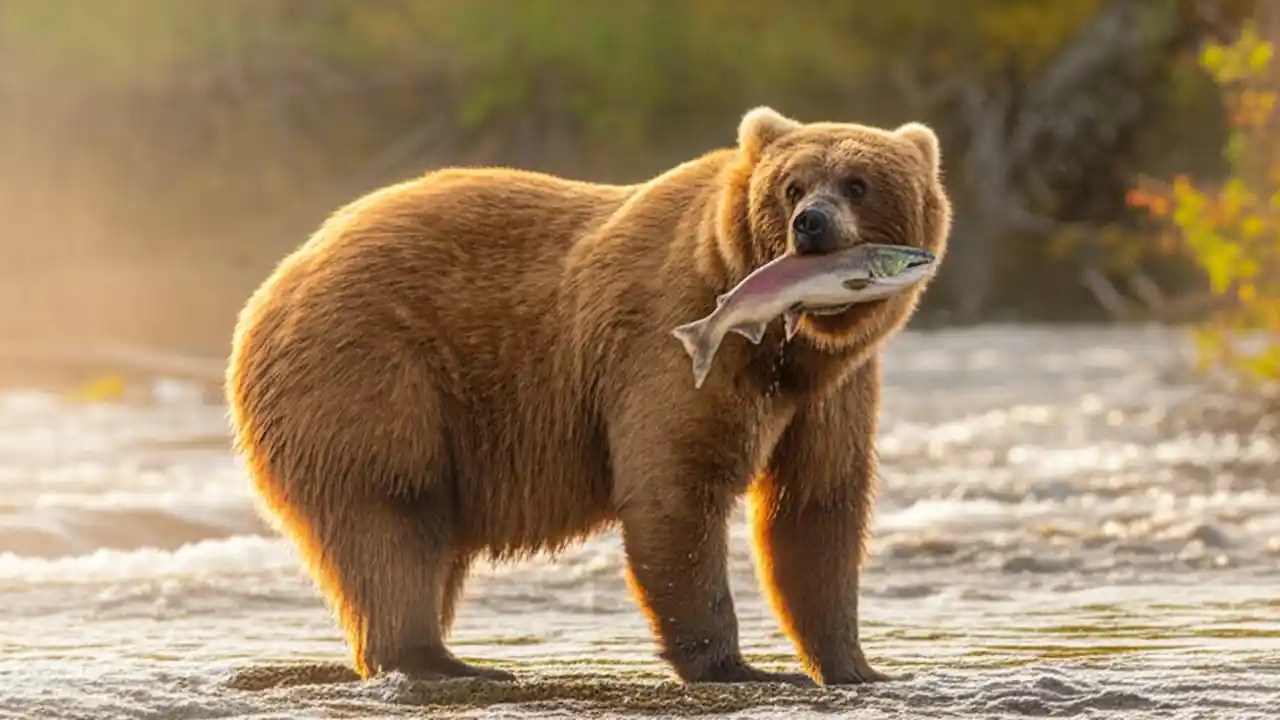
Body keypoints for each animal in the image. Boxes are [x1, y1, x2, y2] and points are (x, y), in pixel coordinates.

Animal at [226, 106, 951, 686]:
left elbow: (816, 507)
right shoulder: (671, 339)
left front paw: (857, 665)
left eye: (858, 182)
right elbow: (677, 487)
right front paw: (739, 665)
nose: (811, 223)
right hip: (371, 371)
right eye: (792, 185)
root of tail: (270, 286)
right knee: (391, 516)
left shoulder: (833, 387)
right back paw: (441, 659)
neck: (787, 340)